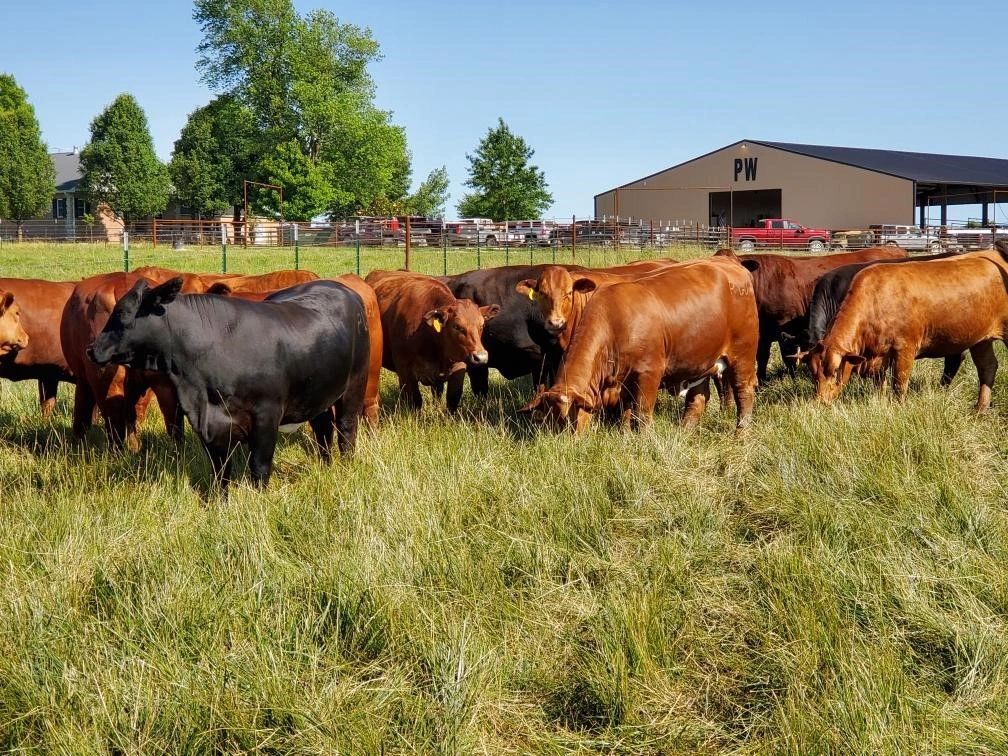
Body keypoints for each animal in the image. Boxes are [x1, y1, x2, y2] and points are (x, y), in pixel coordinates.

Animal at [87, 277, 371, 490]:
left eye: (123, 313)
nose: (92, 349)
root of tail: (341, 287)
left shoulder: (266, 416)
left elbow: (259, 468)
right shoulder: (209, 423)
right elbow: (220, 470)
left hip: (355, 385)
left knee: (346, 429)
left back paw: (345, 466)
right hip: (316, 393)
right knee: (323, 428)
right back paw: (326, 466)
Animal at [365, 270, 498, 412]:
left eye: (482, 325)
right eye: (456, 326)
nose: (481, 357)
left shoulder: (459, 366)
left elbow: (453, 398)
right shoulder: (406, 371)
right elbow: (415, 401)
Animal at [520, 256, 758, 432]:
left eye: (567, 420)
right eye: (547, 421)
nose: (562, 446)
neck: (613, 320)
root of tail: (728, 262)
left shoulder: (649, 374)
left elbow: (642, 415)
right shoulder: (624, 381)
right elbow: (626, 414)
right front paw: (625, 435)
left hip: (743, 355)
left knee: (743, 392)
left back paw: (740, 434)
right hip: (700, 361)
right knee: (697, 399)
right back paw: (684, 432)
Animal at [716, 246, 908, 382]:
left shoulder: (786, 329)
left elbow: (788, 358)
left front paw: (792, 381)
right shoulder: (763, 333)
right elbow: (762, 358)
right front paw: (762, 382)